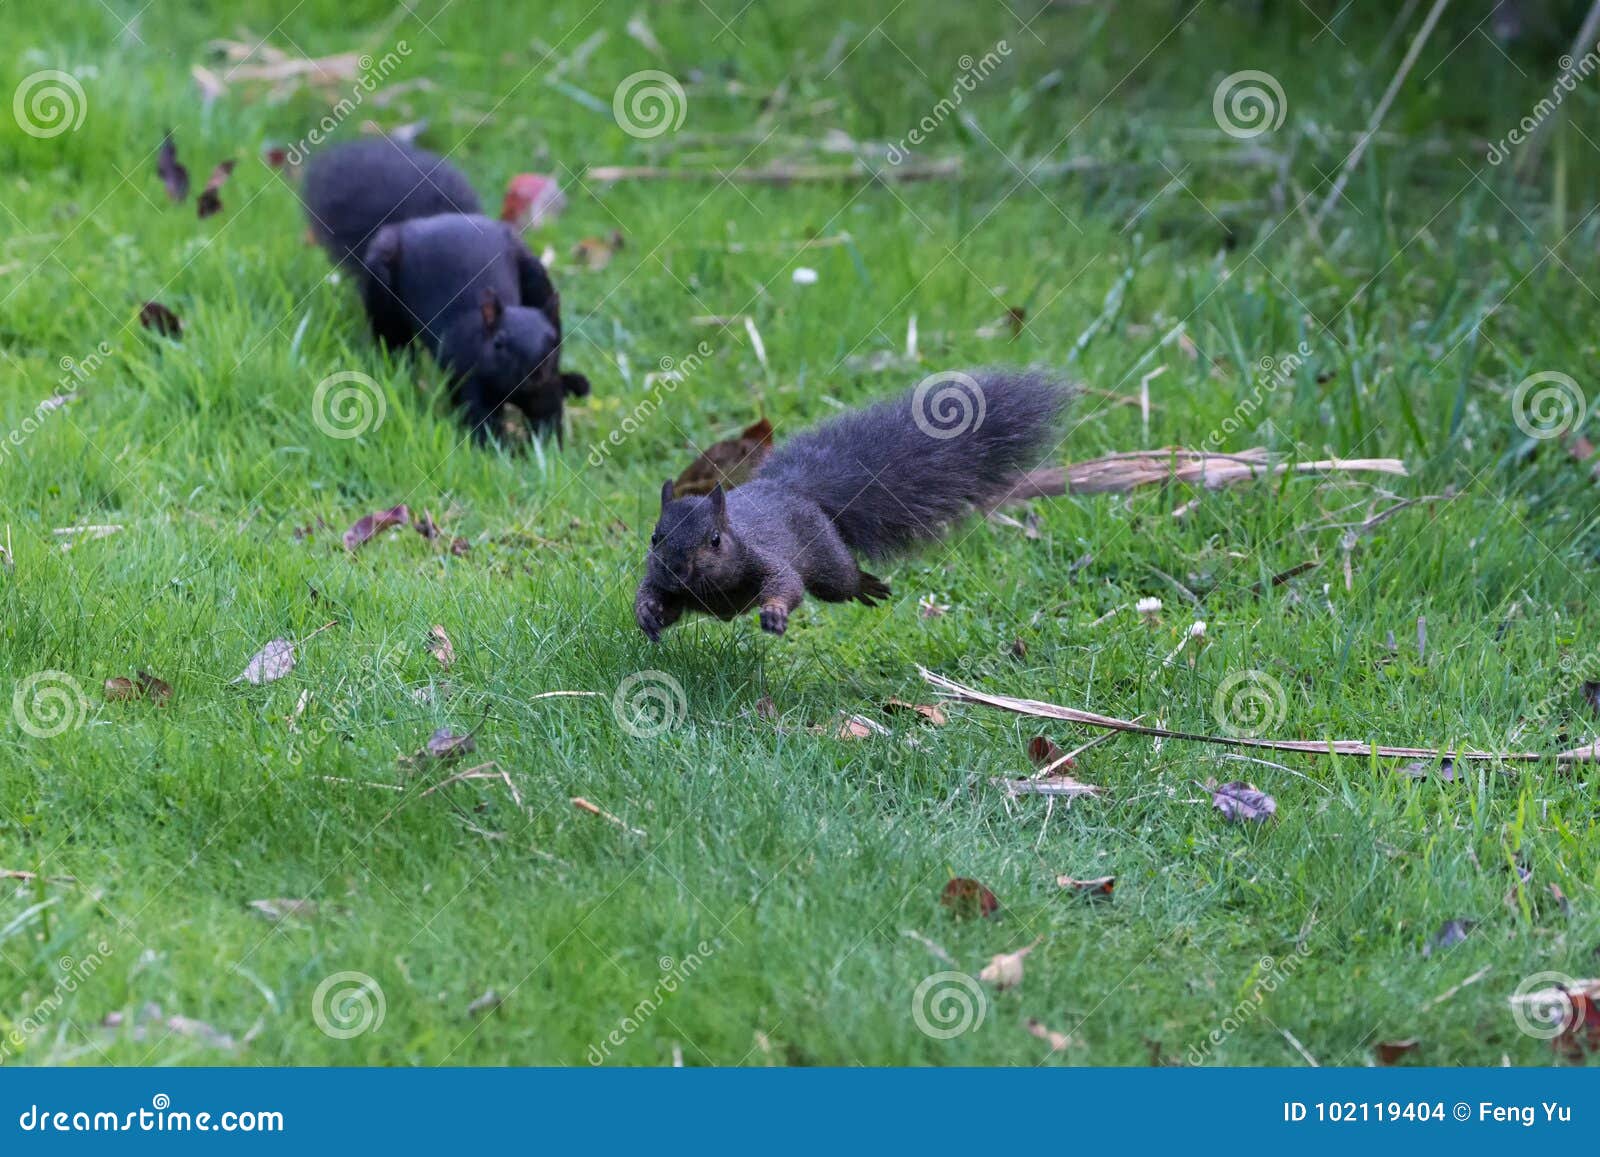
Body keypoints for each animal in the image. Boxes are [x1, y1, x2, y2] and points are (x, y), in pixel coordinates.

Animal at [301, 137, 590, 442]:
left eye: (552, 341)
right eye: (499, 342)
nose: (533, 373)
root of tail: (434, 218)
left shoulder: (544, 390)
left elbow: (547, 417)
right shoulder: (468, 378)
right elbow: (481, 421)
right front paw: (498, 447)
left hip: (533, 270)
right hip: (382, 289)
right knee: (392, 339)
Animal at [634, 369, 1070, 640]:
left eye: (715, 541)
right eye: (654, 538)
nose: (677, 570)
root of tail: (792, 489)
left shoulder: (763, 557)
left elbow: (786, 583)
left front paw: (774, 611)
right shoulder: (665, 583)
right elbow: (657, 599)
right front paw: (646, 613)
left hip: (827, 561)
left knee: (841, 579)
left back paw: (865, 585)